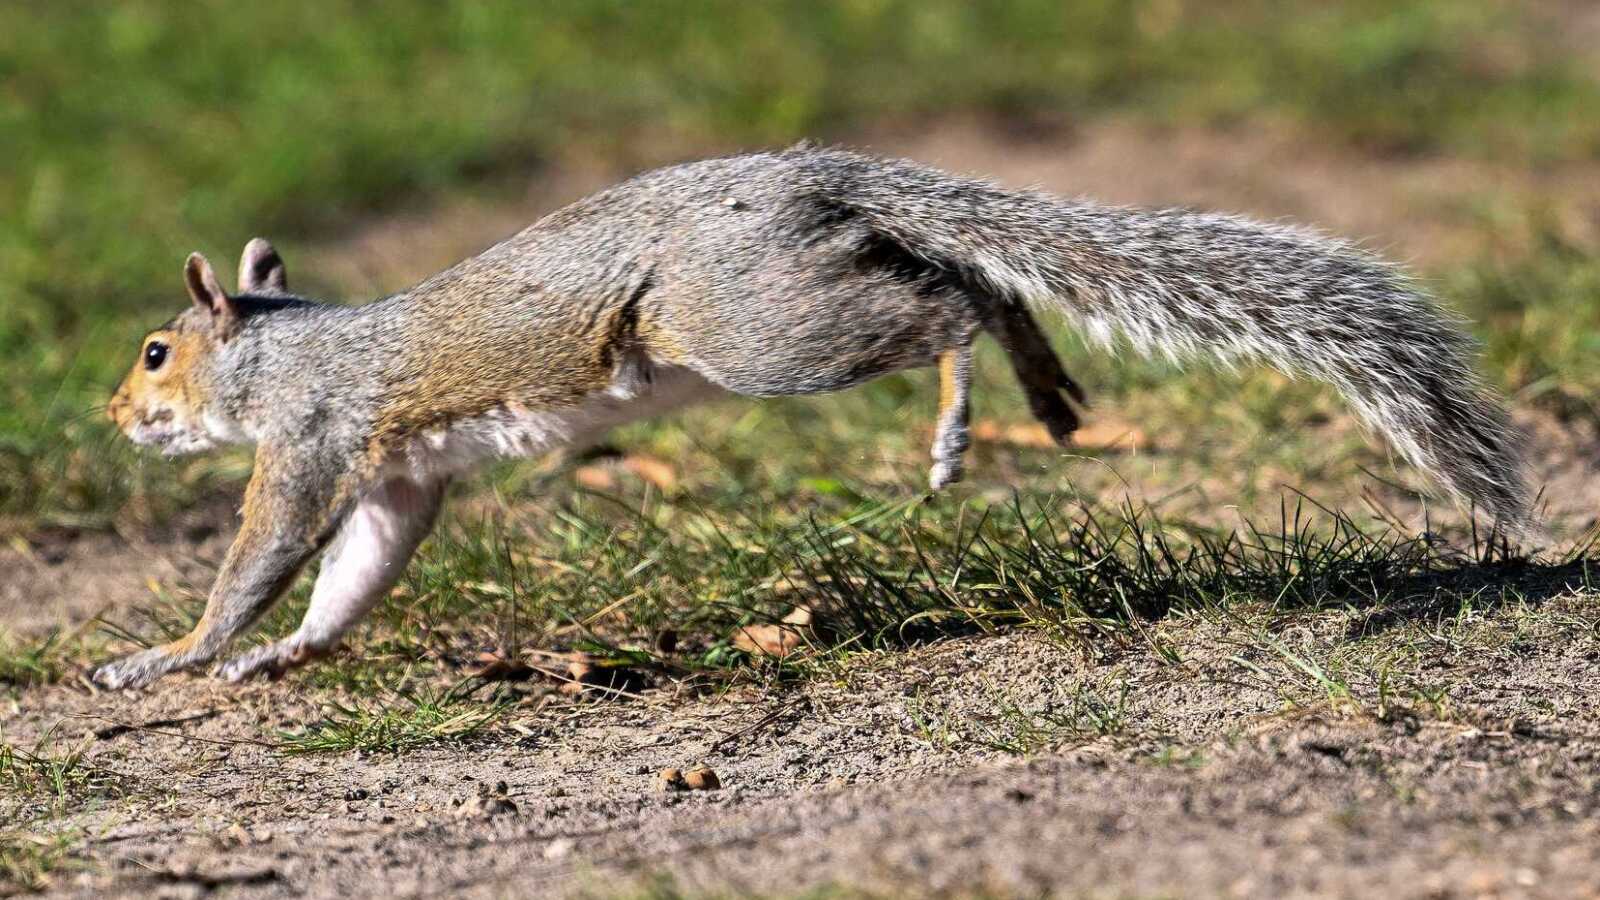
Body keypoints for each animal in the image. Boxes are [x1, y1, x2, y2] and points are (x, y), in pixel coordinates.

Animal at [93, 144, 1530, 689]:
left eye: (157, 351)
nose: (112, 416)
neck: (285, 345)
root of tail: (818, 172)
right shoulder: (400, 474)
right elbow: (360, 570)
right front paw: (283, 657)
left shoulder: (314, 436)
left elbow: (269, 550)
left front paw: (174, 655)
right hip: (796, 291)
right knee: (972, 277)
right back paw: (1045, 389)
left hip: (751, 330)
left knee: (945, 304)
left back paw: (961, 421)